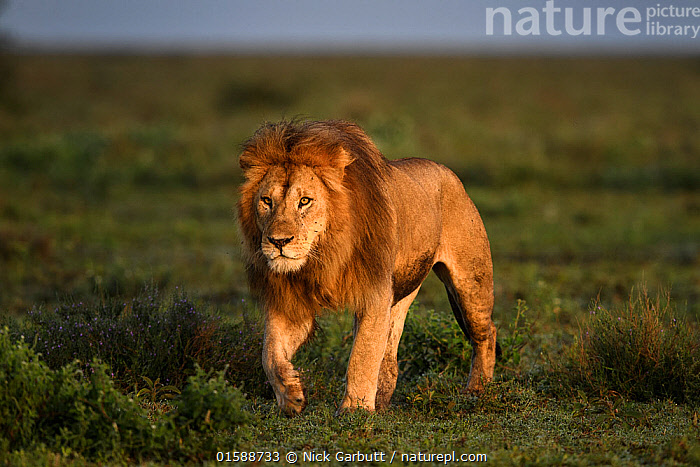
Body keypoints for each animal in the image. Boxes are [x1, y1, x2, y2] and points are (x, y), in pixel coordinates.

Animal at [237, 120, 496, 416]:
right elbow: (269, 354)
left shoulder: (373, 293)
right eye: (266, 201)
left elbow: (362, 355)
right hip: (402, 292)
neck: (326, 255)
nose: (279, 241)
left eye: (304, 201)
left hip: (471, 282)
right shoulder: (291, 302)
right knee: (390, 352)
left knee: (486, 333)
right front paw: (290, 395)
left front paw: (354, 411)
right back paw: (382, 400)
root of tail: (446, 171)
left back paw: (477, 390)